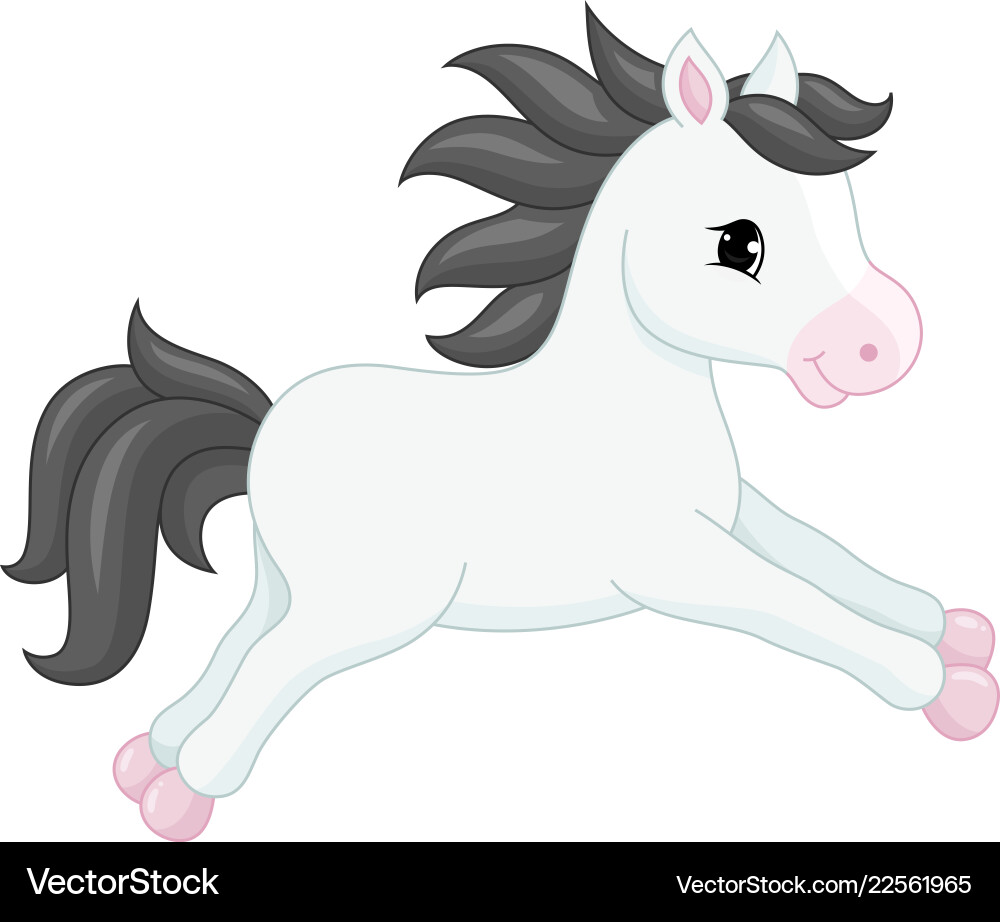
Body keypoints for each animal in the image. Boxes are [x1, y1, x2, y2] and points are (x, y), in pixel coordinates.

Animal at [5, 7, 996, 841]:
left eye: (844, 212)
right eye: (738, 242)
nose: (890, 346)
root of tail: (262, 431)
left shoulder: (729, 515)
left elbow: (825, 559)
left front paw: (955, 634)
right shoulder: (670, 559)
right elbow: (797, 607)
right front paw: (947, 693)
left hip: (293, 589)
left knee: (234, 651)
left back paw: (150, 759)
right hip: (371, 606)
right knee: (266, 675)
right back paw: (184, 793)